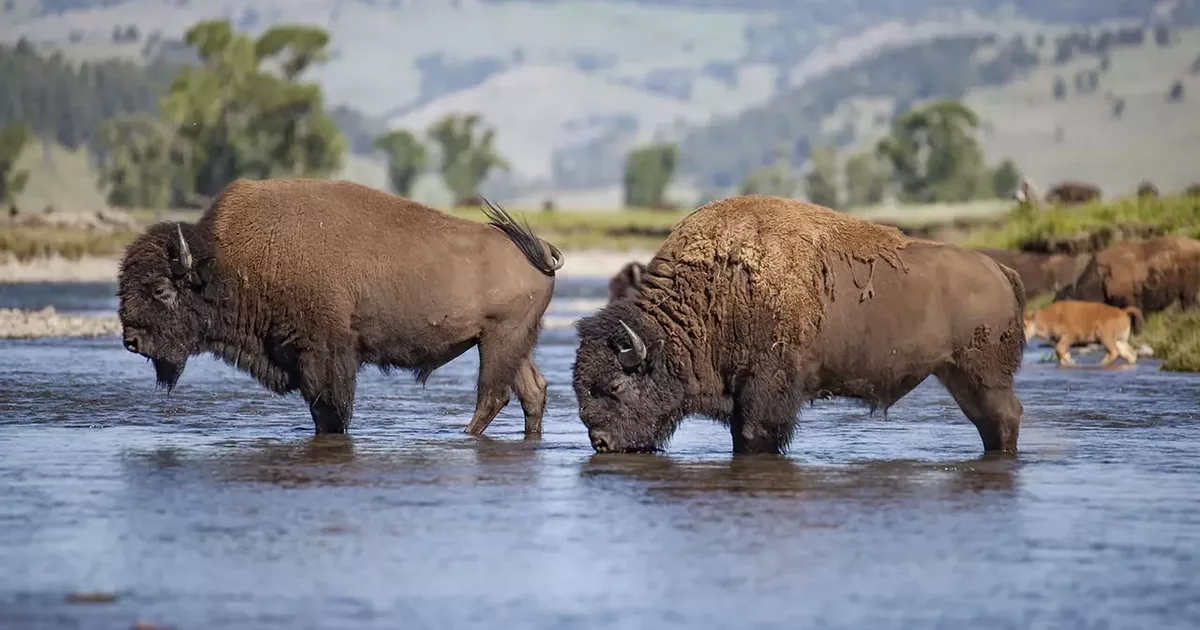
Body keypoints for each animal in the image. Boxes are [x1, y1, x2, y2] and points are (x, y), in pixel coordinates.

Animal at [117, 178, 564, 436]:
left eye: (160, 290)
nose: (131, 340)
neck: (227, 261)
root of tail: (538, 248)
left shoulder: (324, 356)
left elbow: (331, 410)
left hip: (500, 341)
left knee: (493, 395)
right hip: (508, 343)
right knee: (531, 391)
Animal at [572, 195, 1027, 456]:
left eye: (613, 387)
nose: (601, 443)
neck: (716, 291)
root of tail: (1001, 270)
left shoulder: (767, 390)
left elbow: (755, 435)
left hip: (984, 374)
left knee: (1004, 417)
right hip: (957, 374)